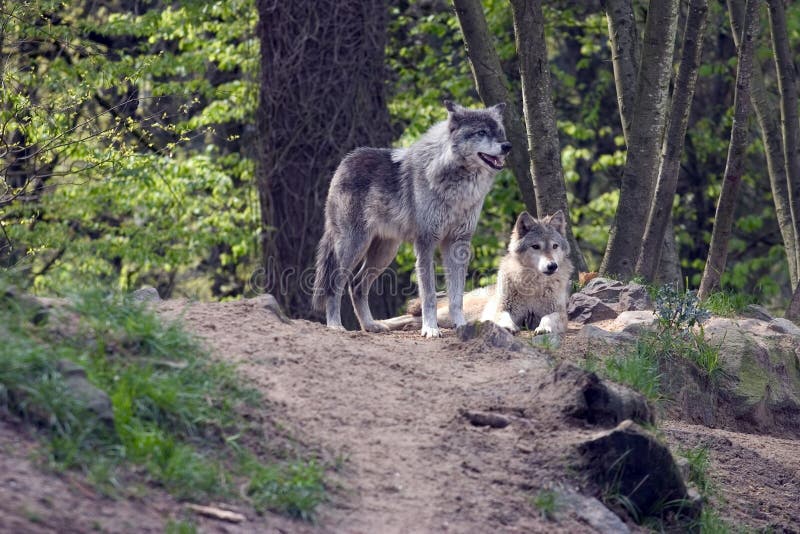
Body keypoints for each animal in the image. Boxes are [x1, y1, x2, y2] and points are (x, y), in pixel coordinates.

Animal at [312, 101, 511, 338]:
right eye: (482, 132)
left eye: (500, 132)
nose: (507, 146)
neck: (458, 185)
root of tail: (345, 161)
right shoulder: (426, 242)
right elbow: (429, 295)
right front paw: (430, 329)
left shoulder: (458, 243)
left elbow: (456, 297)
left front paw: (462, 326)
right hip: (353, 246)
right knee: (334, 284)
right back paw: (335, 325)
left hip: (385, 253)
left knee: (357, 285)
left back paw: (370, 325)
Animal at [380, 211, 573, 335]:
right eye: (536, 246)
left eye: (554, 246)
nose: (552, 266)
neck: (533, 285)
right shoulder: (501, 309)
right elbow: (503, 316)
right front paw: (508, 327)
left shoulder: (560, 313)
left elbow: (548, 318)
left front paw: (544, 328)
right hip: (455, 314)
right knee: (413, 316)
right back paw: (383, 324)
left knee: (415, 319)